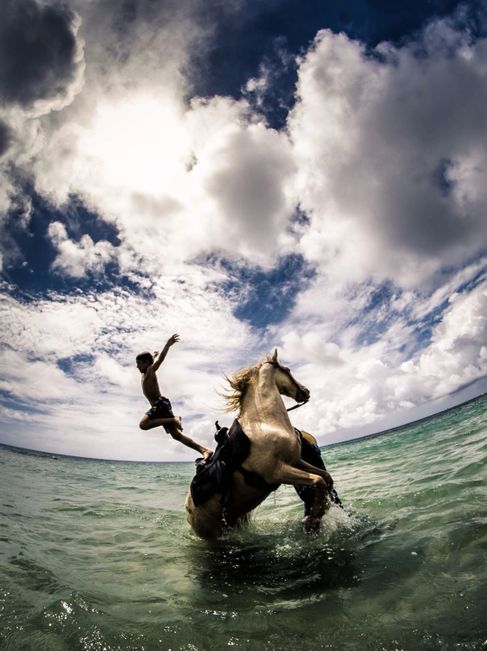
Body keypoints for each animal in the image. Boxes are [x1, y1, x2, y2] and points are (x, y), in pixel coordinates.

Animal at [184, 349, 334, 539]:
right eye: (288, 370)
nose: (306, 391)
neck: (265, 423)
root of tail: (188, 514)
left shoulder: (296, 462)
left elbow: (326, 478)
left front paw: (318, 514)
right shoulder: (278, 472)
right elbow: (318, 481)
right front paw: (312, 521)